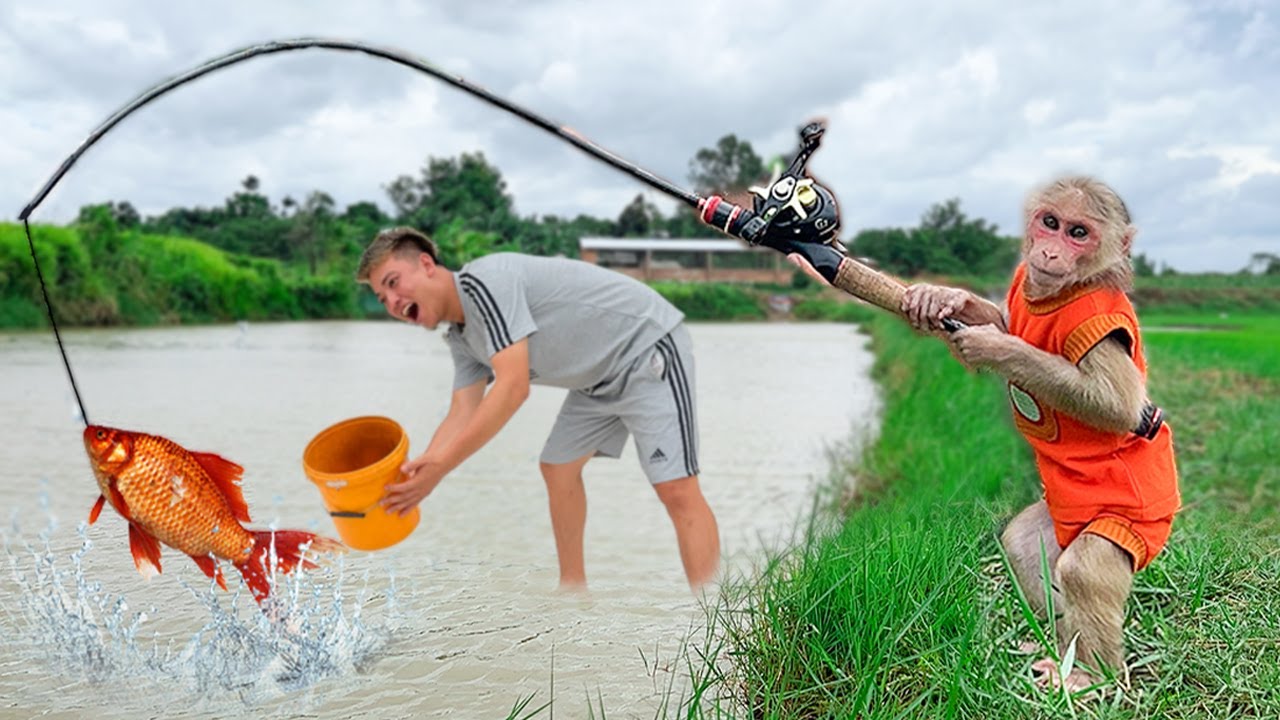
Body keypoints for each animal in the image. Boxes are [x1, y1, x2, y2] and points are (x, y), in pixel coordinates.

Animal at [901, 176, 1181, 693]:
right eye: (1050, 222)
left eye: (1079, 232)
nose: (1051, 251)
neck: (1061, 291)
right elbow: (1000, 314)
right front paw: (944, 299)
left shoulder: (1098, 322)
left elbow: (1118, 405)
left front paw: (997, 348)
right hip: (1060, 513)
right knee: (1024, 548)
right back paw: (1055, 643)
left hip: (1140, 526)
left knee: (1085, 569)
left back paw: (1089, 674)